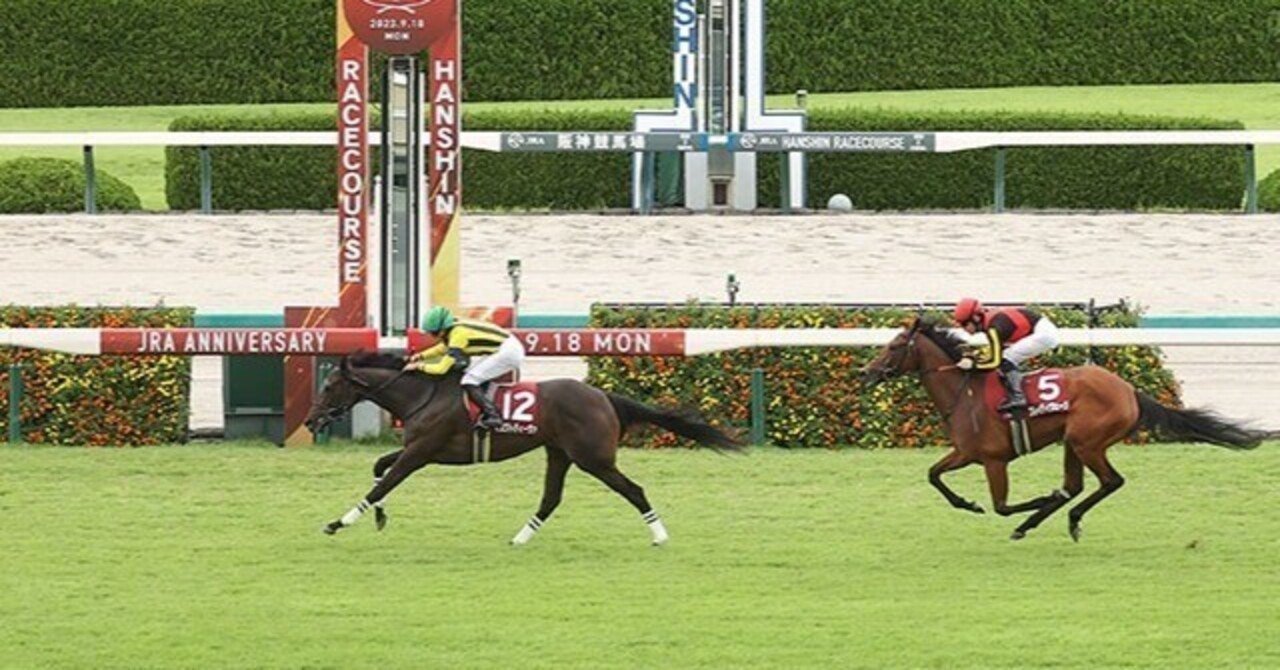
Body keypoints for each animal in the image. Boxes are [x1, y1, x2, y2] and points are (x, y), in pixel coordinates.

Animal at [304, 351, 742, 545]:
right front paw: (378, 517)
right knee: (550, 498)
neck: (423, 395)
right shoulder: (419, 450)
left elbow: (383, 481)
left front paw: (338, 522)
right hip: (560, 453)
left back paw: (660, 534)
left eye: (328, 386)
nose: (309, 421)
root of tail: (602, 396)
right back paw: (520, 538)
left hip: (593, 458)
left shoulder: (420, 453)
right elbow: (379, 469)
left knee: (633, 489)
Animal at [860, 317, 1262, 541]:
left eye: (895, 345)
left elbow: (1002, 506)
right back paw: (1040, 522)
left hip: (1088, 442)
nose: (866, 372)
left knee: (1108, 482)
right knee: (1075, 486)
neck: (965, 392)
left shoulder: (993, 459)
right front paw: (968, 504)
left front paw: (1034, 500)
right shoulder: (964, 453)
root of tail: (1128, 389)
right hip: (1073, 441)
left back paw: (1064, 517)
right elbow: (933, 475)